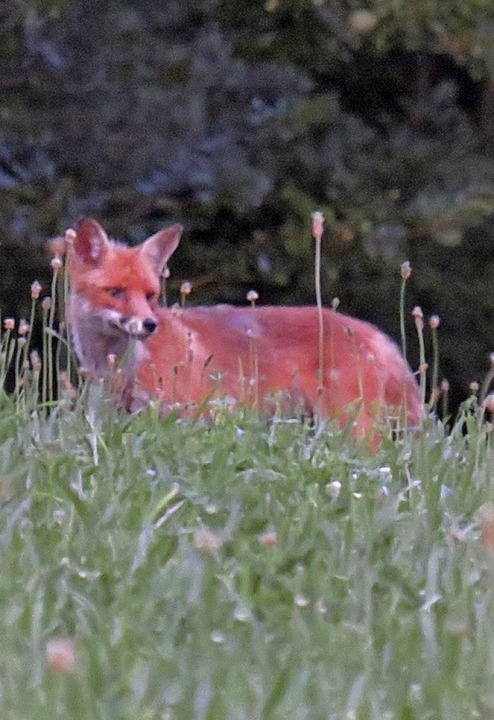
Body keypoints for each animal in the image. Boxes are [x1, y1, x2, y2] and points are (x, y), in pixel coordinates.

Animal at [66, 217, 422, 439]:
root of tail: (374, 333)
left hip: (350, 426)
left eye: (150, 295)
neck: (119, 367)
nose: (150, 324)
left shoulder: (180, 418)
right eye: (116, 292)